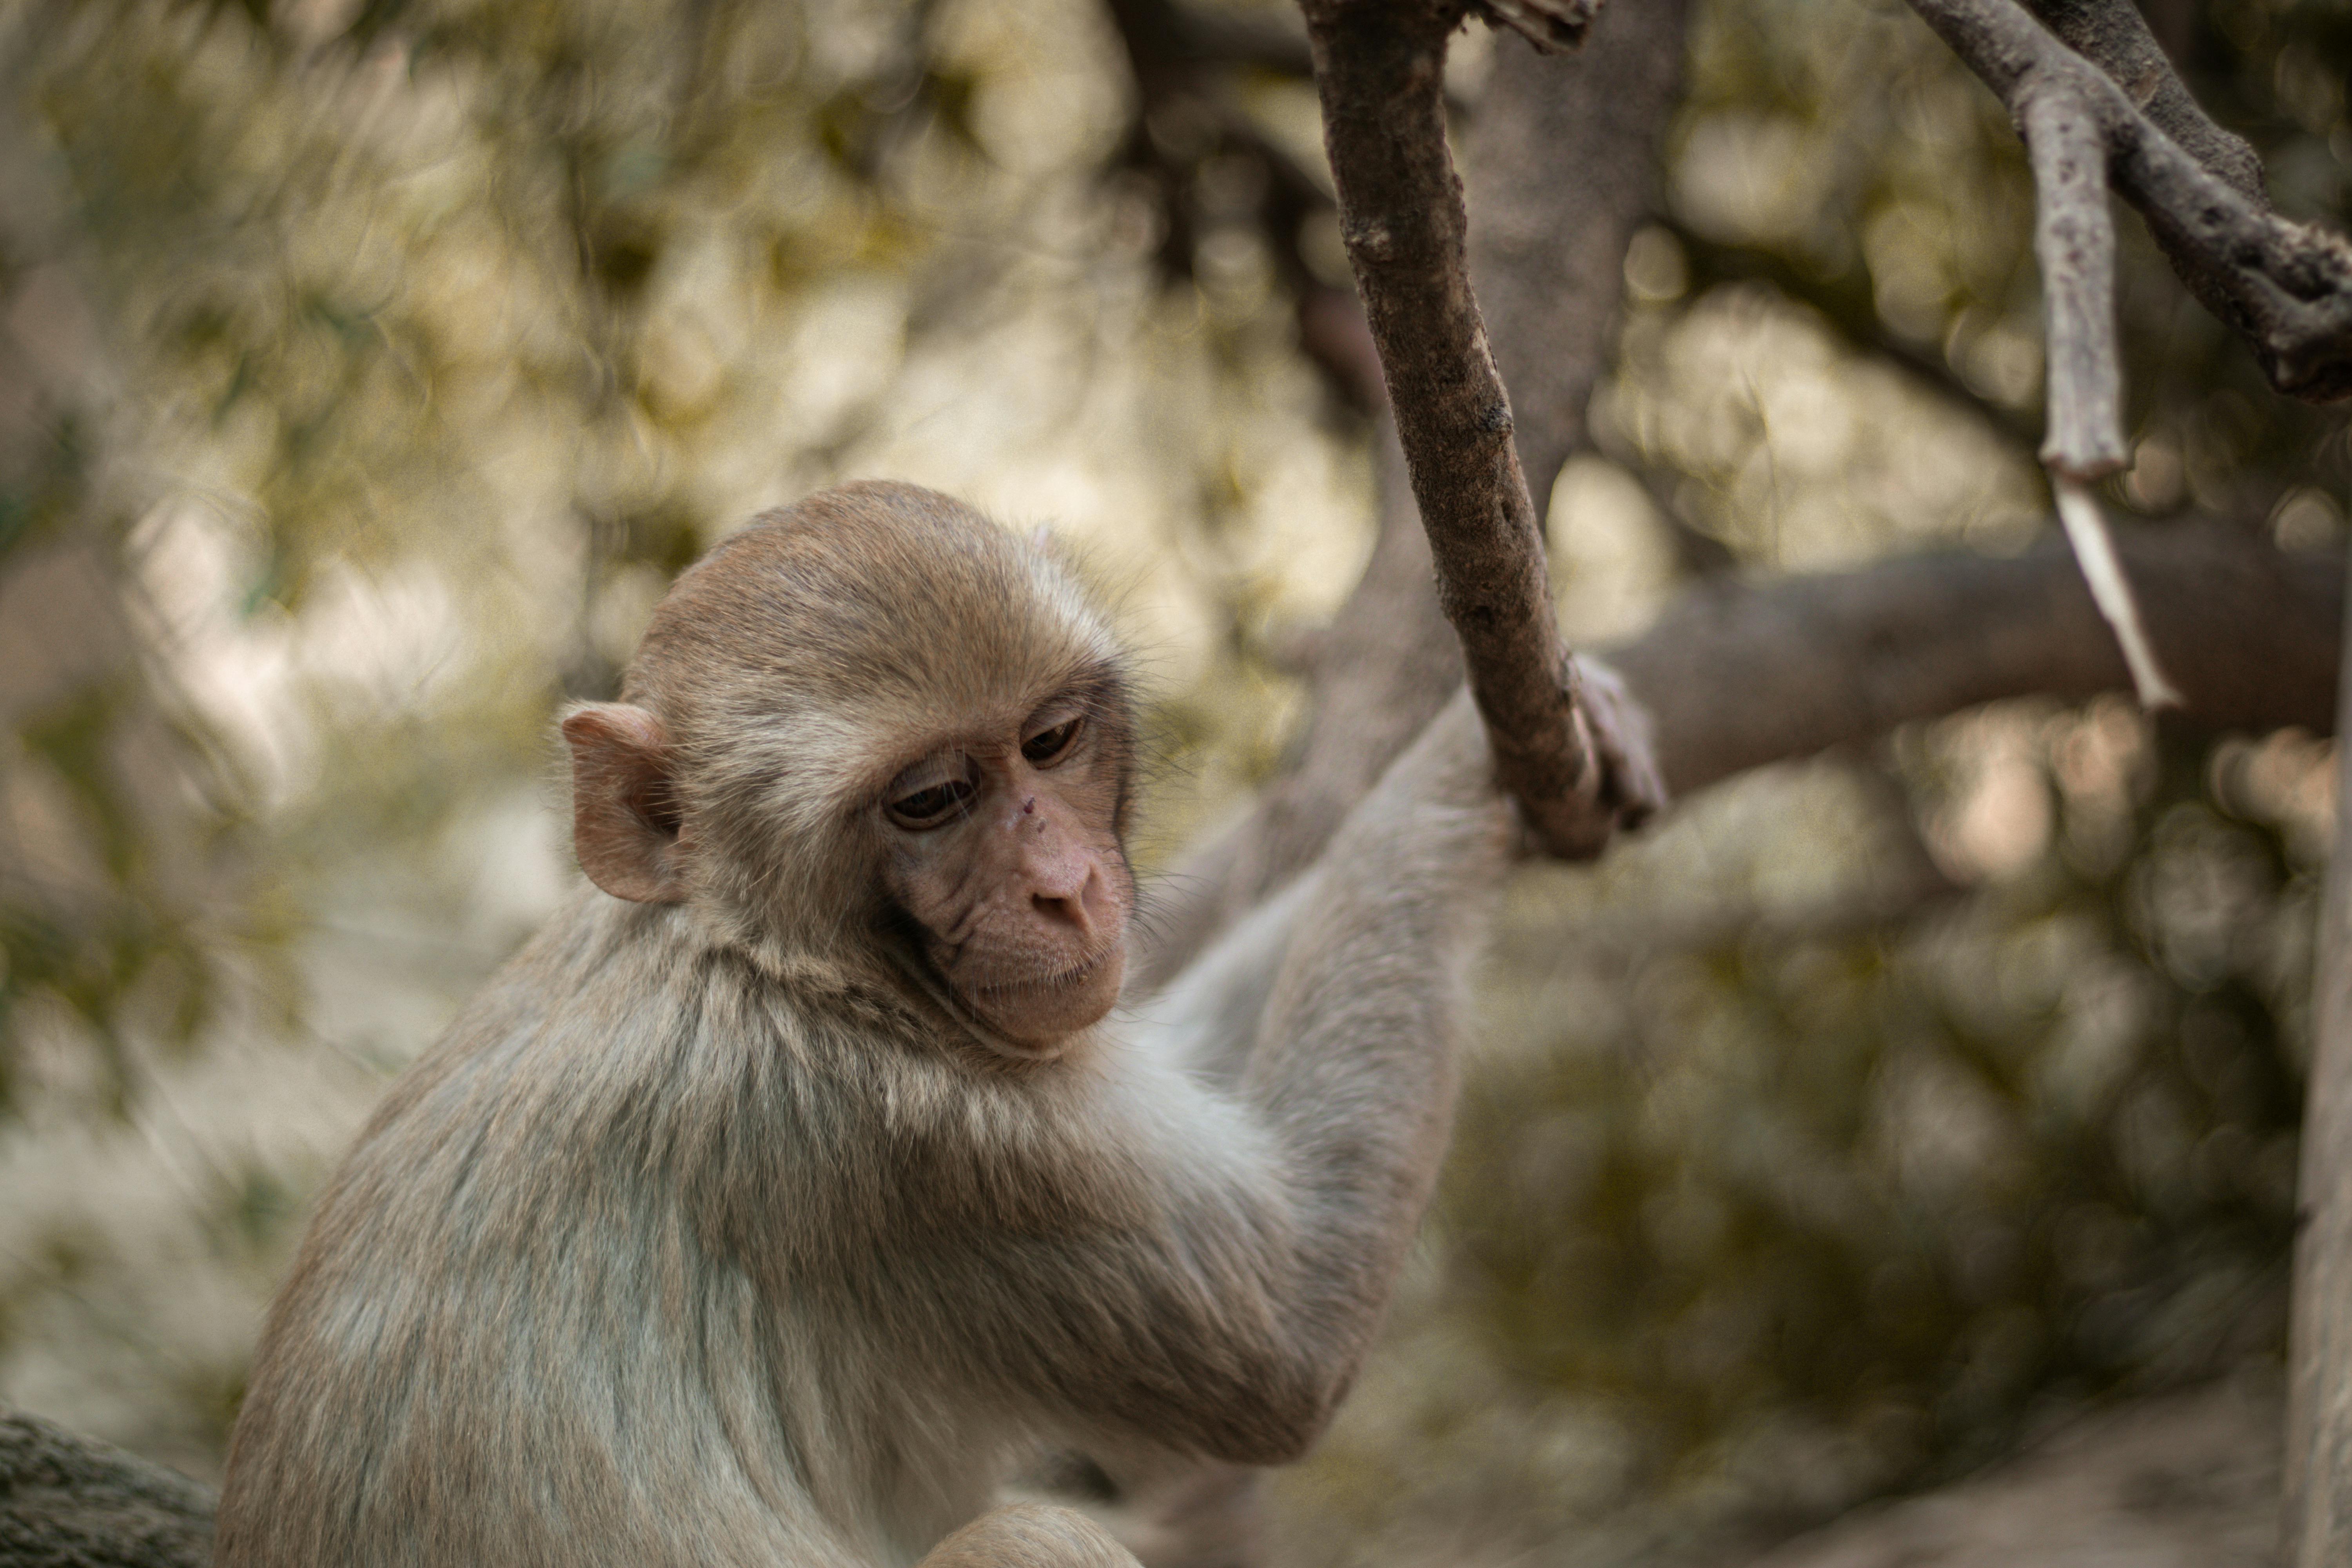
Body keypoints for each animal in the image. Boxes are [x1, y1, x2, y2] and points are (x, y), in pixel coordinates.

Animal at [210, 479, 1528, 1568]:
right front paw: (1466, 757)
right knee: (1032, 1539)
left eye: (1049, 741)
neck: (756, 956)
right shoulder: (894, 1143)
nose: (1066, 887)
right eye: (931, 801)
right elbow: (1297, 1321)